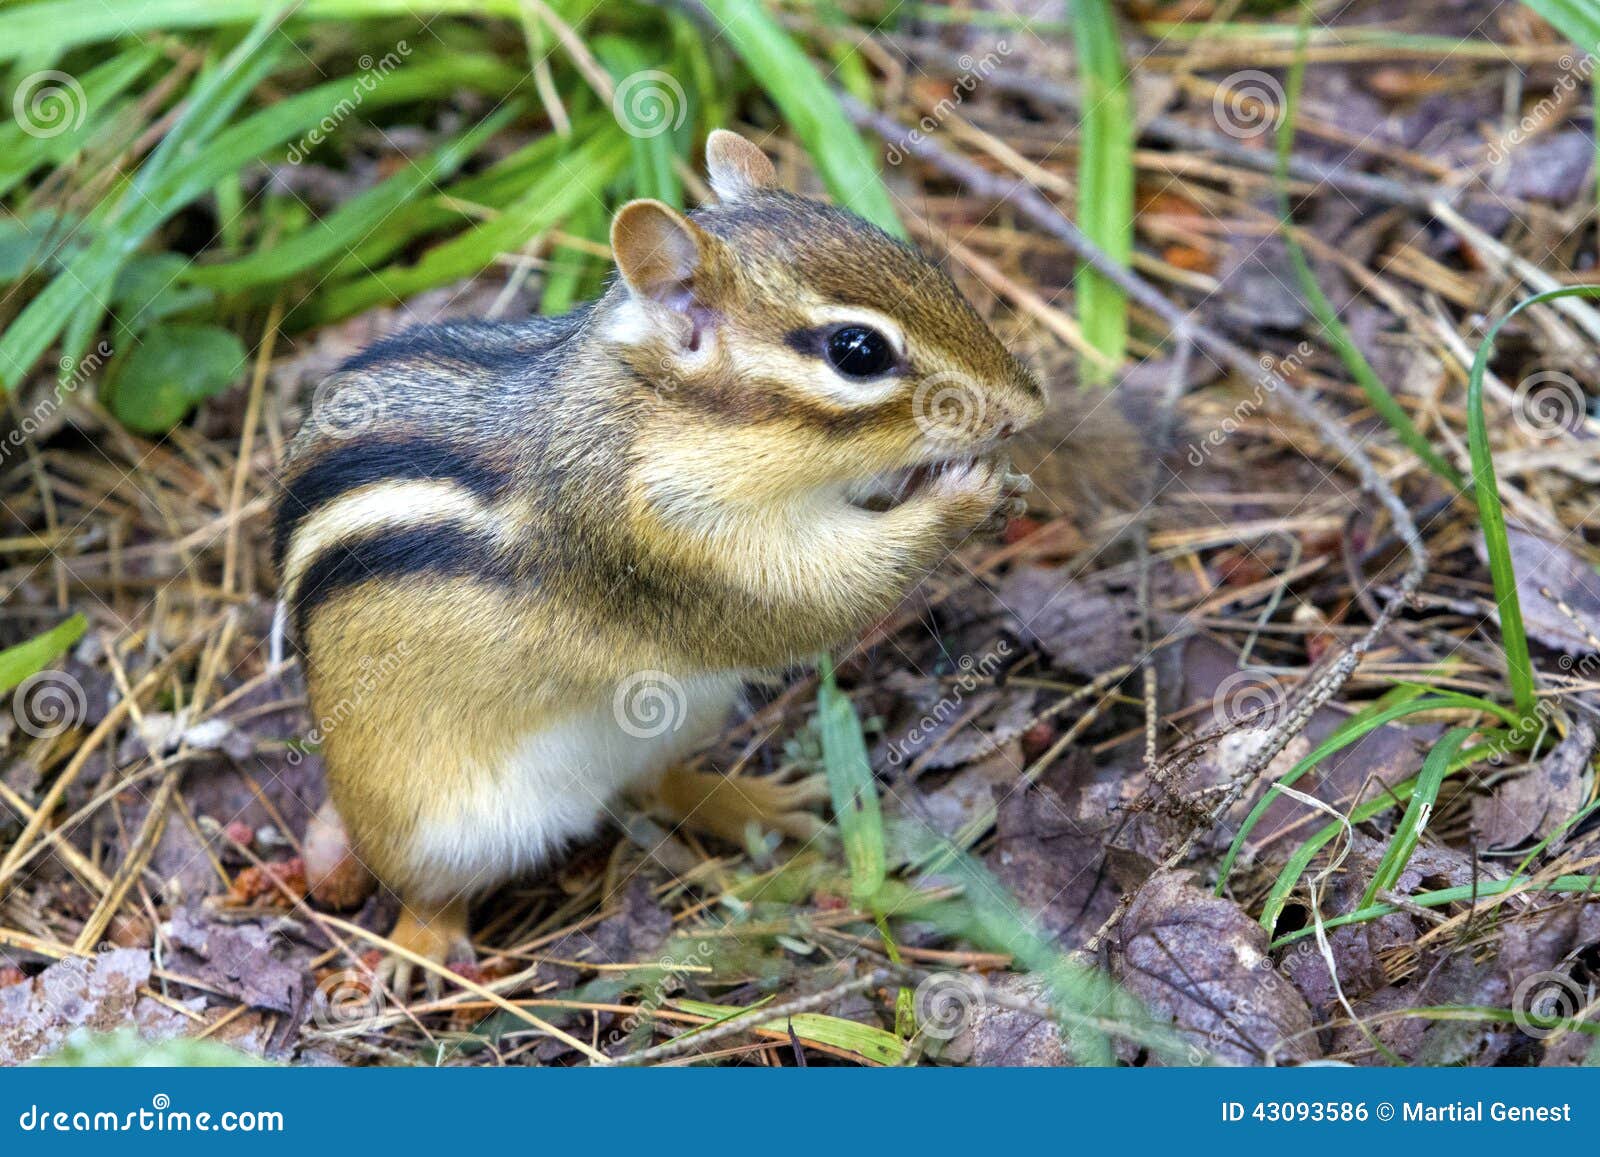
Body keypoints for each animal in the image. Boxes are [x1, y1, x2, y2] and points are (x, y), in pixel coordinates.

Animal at [277, 130, 1114, 995]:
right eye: (857, 351)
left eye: (928, 266)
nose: (1028, 405)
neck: (670, 419)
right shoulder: (658, 542)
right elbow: (811, 600)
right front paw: (961, 498)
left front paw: (999, 487)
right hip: (434, 823)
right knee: (426, 887)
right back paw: (423, 944)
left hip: (682, 714)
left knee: (656, 779)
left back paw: (754, 802)